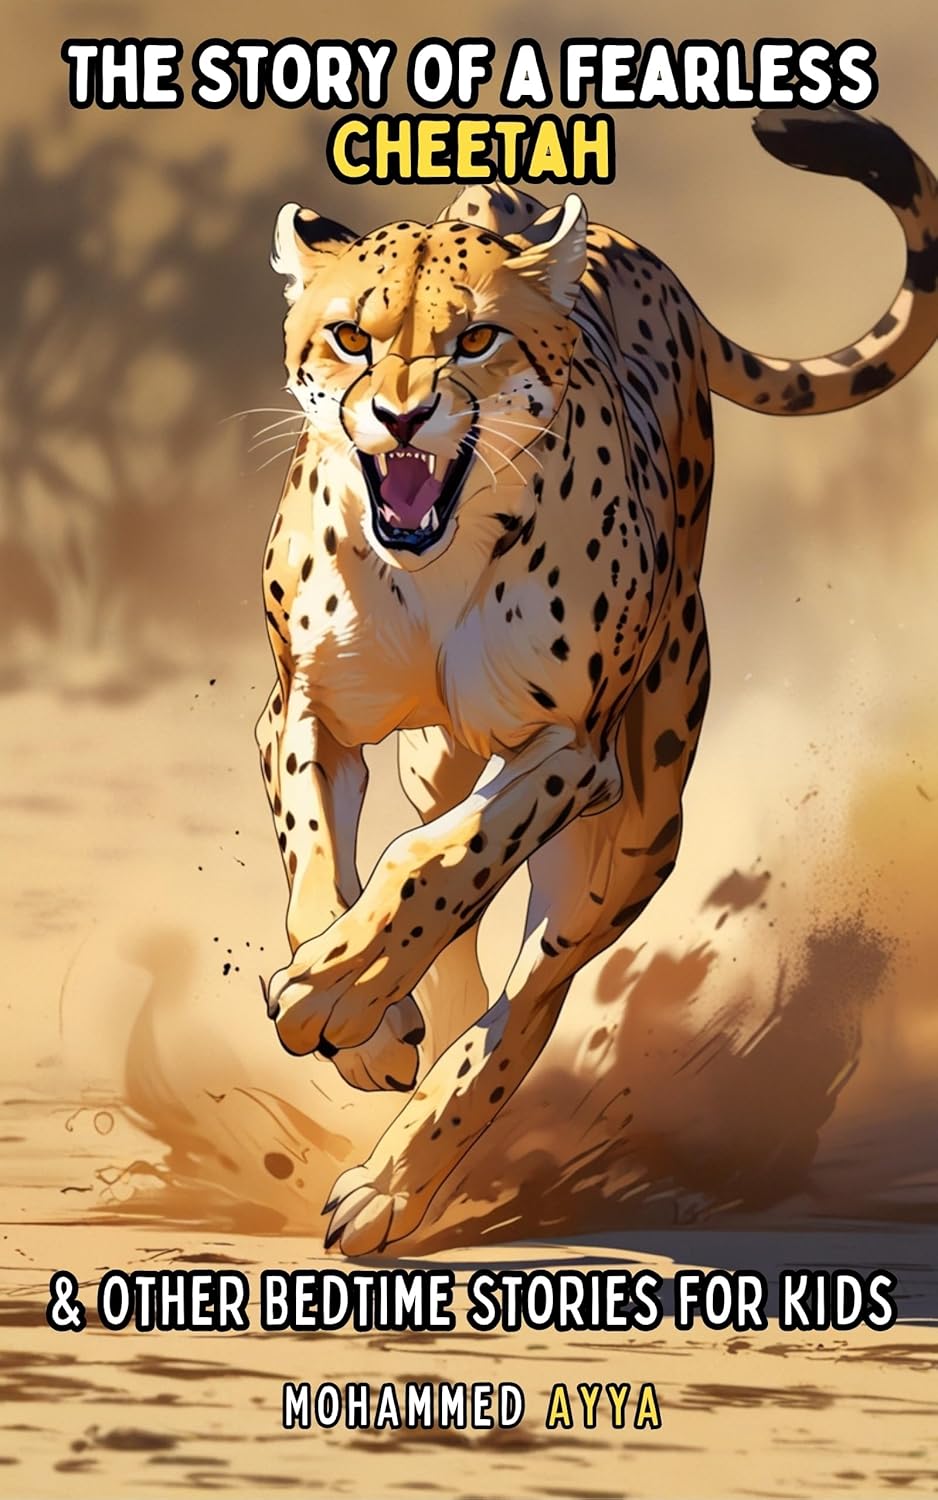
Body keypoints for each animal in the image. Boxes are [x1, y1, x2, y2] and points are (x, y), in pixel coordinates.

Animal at [256, 105, 937, 1254]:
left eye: (474, 338)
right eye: (350, 336)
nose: (400, 419)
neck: (437, 563)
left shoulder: (577, 757)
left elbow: (430, 866)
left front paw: (337, 995)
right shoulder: (302, 708)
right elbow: (320, 869)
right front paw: (362, 1018)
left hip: (635, 830)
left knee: (525, 1005)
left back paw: (392, 1189)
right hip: (445, 761)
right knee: (461, 912)